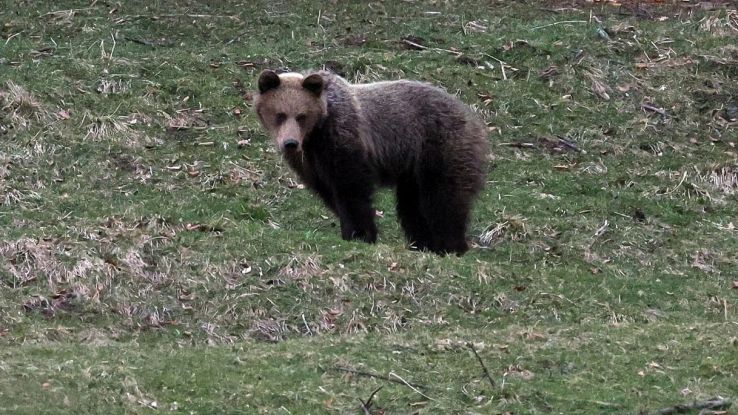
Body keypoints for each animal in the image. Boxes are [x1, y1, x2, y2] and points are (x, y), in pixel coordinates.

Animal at [253, 70, 488, 255]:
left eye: (301, 115)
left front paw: (360, 234)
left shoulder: (344, 140)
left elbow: (352, 190)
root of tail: (474, 118)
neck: (315, 136)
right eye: (280, 114)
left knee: (445, 200)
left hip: (440, 148)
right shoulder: (311, 164)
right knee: (413, 207)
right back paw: (424, 244)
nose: (290, 143)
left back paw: (451, 246)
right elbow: (329, 192)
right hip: (412, 171)